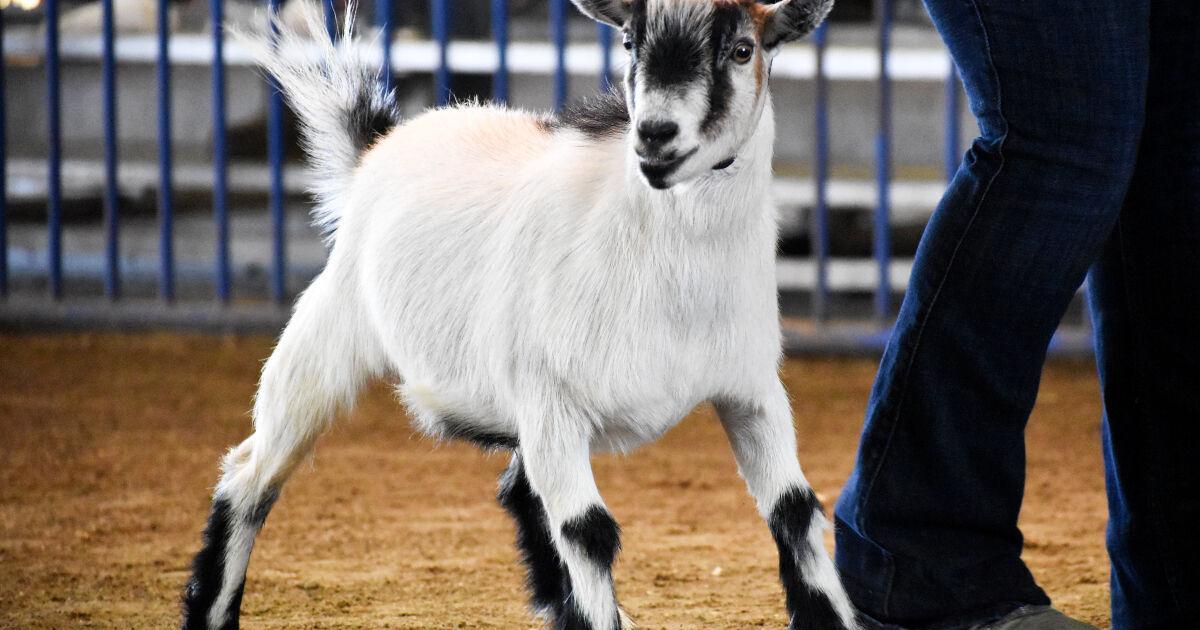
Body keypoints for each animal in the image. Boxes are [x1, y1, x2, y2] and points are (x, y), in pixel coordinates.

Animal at [181, 1, 857, 628]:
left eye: (744, 49)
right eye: (630, 39)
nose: (655, 134)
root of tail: (378, 147)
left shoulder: (751, 391)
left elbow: (796, 509)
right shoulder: (551, 400)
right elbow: (588, 530)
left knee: (519, 493)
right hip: (325, 339)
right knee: (252, 476)